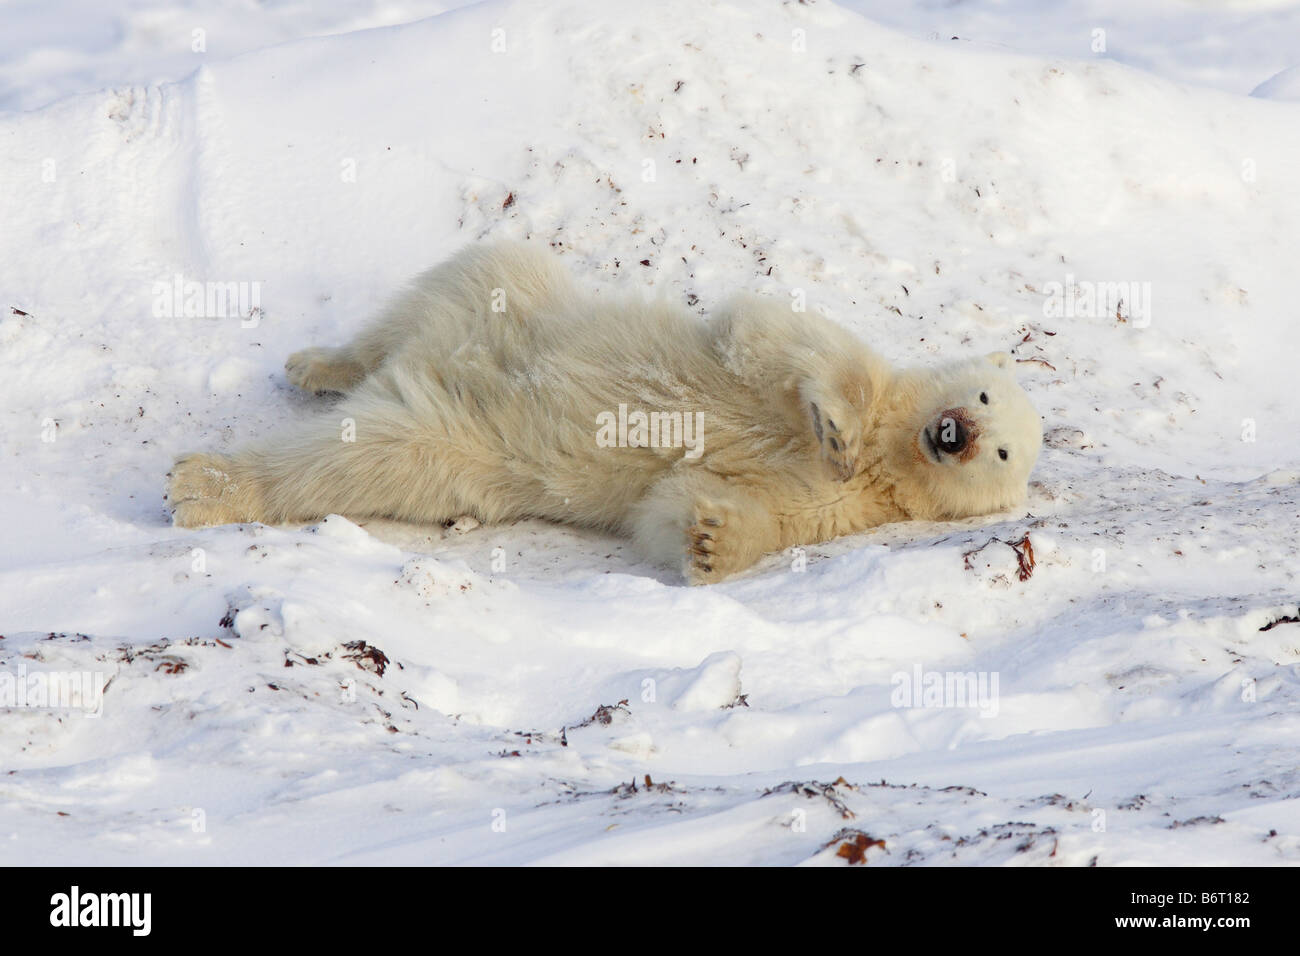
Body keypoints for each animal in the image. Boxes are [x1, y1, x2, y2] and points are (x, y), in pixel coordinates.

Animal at [167, 241, 1043, 584]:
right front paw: (838, 419)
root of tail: (431, 360)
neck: (891, 460)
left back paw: (213, 480)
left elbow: (685, 505)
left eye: (1005, 454)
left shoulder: (841, 509)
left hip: (461, 443)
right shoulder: (799, 369)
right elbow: (778, 337)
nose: (959, 433)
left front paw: (713, 540)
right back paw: (312, 371)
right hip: (509, 301)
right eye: (987, 397)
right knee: (465, 273)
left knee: (372, 455)